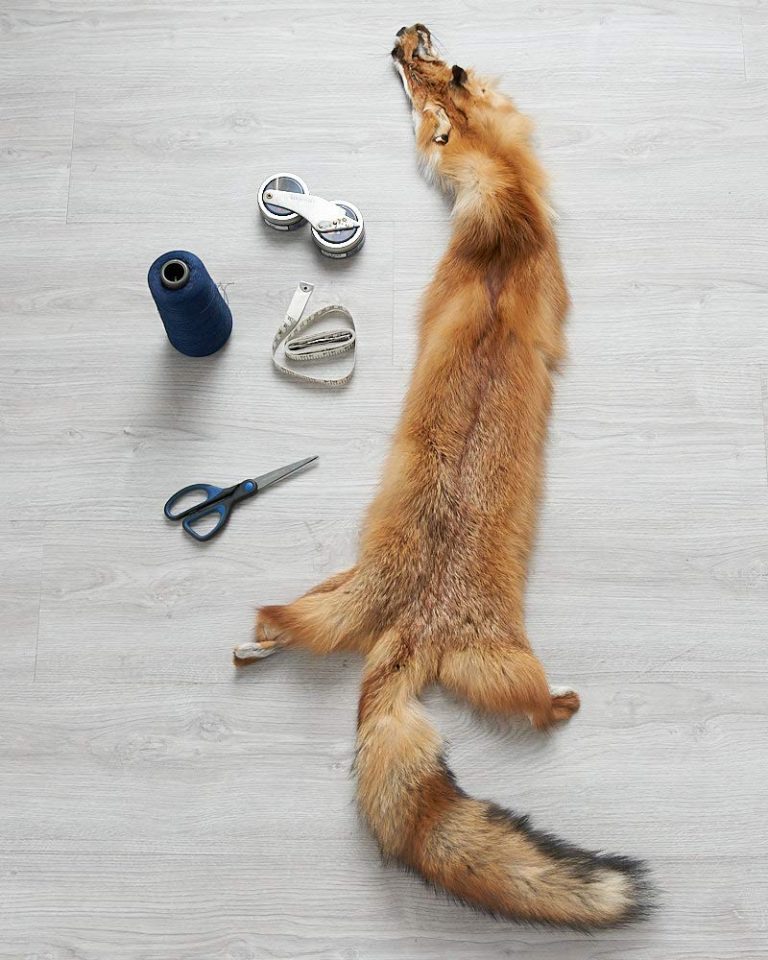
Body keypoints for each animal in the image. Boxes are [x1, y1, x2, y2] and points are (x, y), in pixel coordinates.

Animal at [234, 24, 653, 929]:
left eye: (432, 65)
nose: (400, 34)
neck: (507, 206)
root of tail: (411, 626)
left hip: (330, 597)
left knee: (280, 621)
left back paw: (253, 646)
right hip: (507, 670)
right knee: (537, 709)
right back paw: (566, 701)